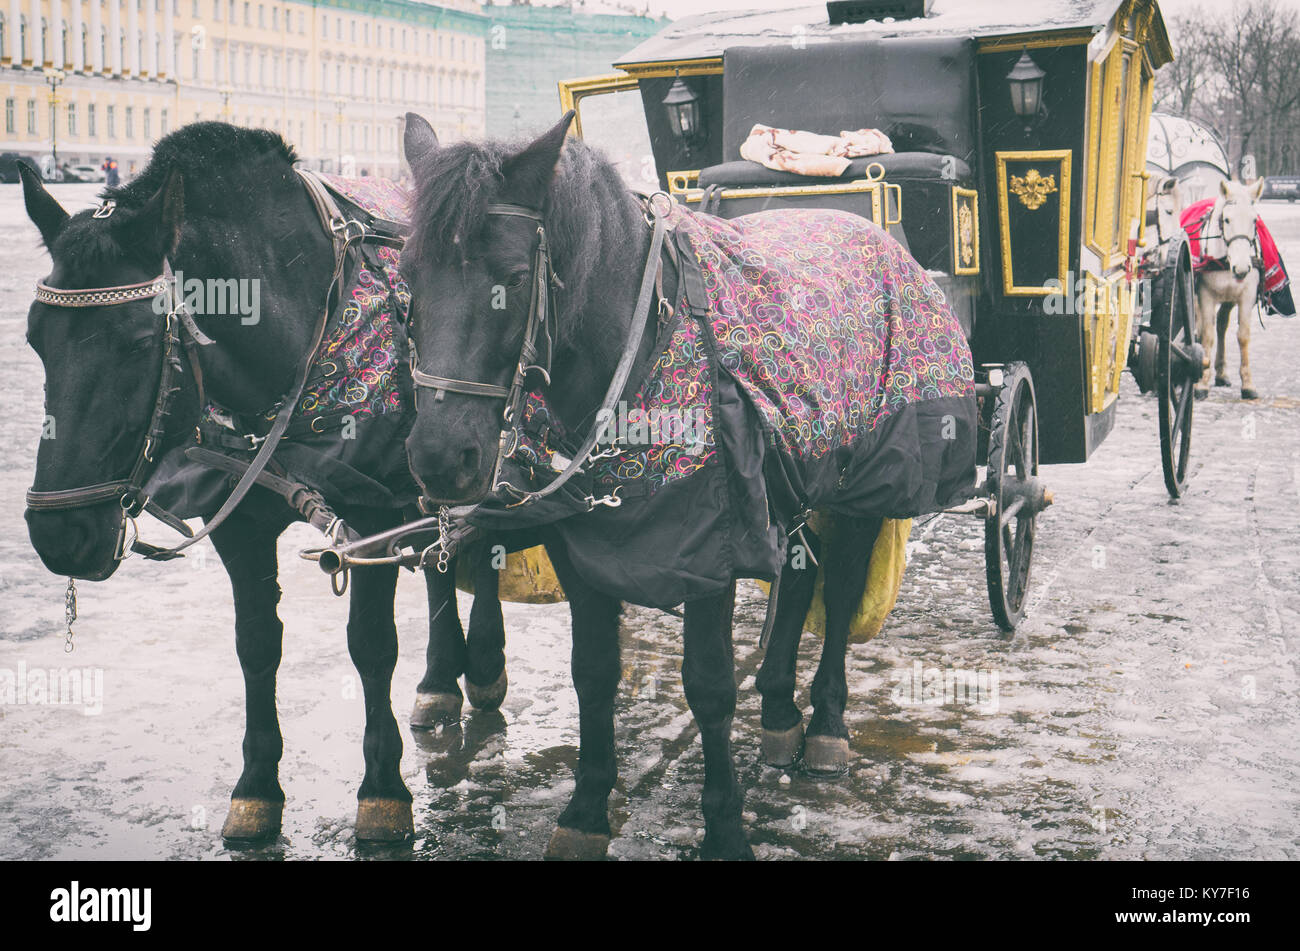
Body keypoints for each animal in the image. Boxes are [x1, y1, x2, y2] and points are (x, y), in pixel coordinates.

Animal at [17, 119, 510, 848]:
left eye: (138, 341)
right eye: (34, 338)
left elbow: (371, 645)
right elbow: (256, 646)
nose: (58, 532)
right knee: (443, 560)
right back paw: (441, 680)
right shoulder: (241, 518)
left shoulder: (369, 515)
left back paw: (485, 667)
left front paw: (382, 791)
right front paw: (255, 789)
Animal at [398, 111, 976, 859]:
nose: (440, 457)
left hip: (863, 484)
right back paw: (781, 710)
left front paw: (725, 826)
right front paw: (586, 810)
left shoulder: (710, 547)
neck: (641, 351)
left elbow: (708, 687)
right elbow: (593, 673)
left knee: (843, 587)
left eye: (515, 277)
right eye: (408, 276)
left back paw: (824, 725)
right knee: (800, 577)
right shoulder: (585, 545)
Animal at [1191, 178, 1264, 401]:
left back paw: (1221, 372)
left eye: (1254, 220)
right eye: (1227, 220)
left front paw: (1248, 384)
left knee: (1222, 324)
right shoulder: (1205, 295)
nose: (1241, 268)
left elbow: (1243, 336)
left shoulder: (1246, 295)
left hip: (1229, 297)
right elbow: (1207, 335)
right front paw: (1201, 383)